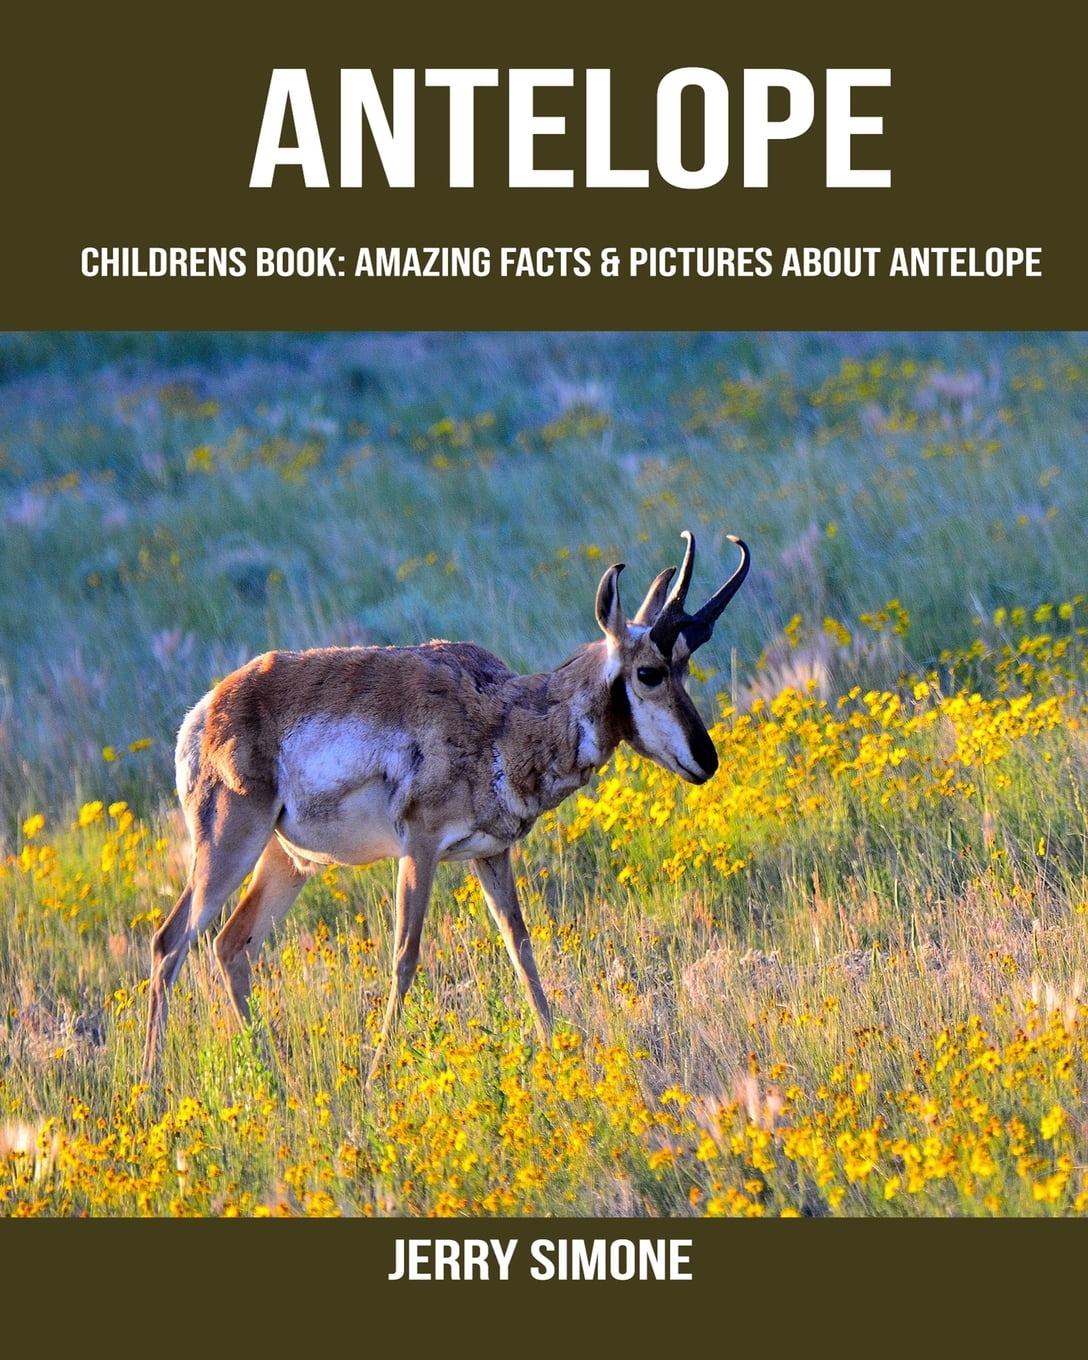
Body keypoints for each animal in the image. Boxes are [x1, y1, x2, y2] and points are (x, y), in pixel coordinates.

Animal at [141, 530, 749, 1088]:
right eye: (649, 672)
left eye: (686, 666)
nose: (708, 760)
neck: (505, 716)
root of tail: (206, 710)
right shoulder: (421, 847)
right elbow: (405, 956)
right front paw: (375, 1077)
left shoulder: (492, 855)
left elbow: (520, 949)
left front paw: (558, 1050)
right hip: (230, 845)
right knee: (170, 942)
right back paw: (151, 1091)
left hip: (290, 861)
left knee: (230, 945)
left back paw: (276, 1077)